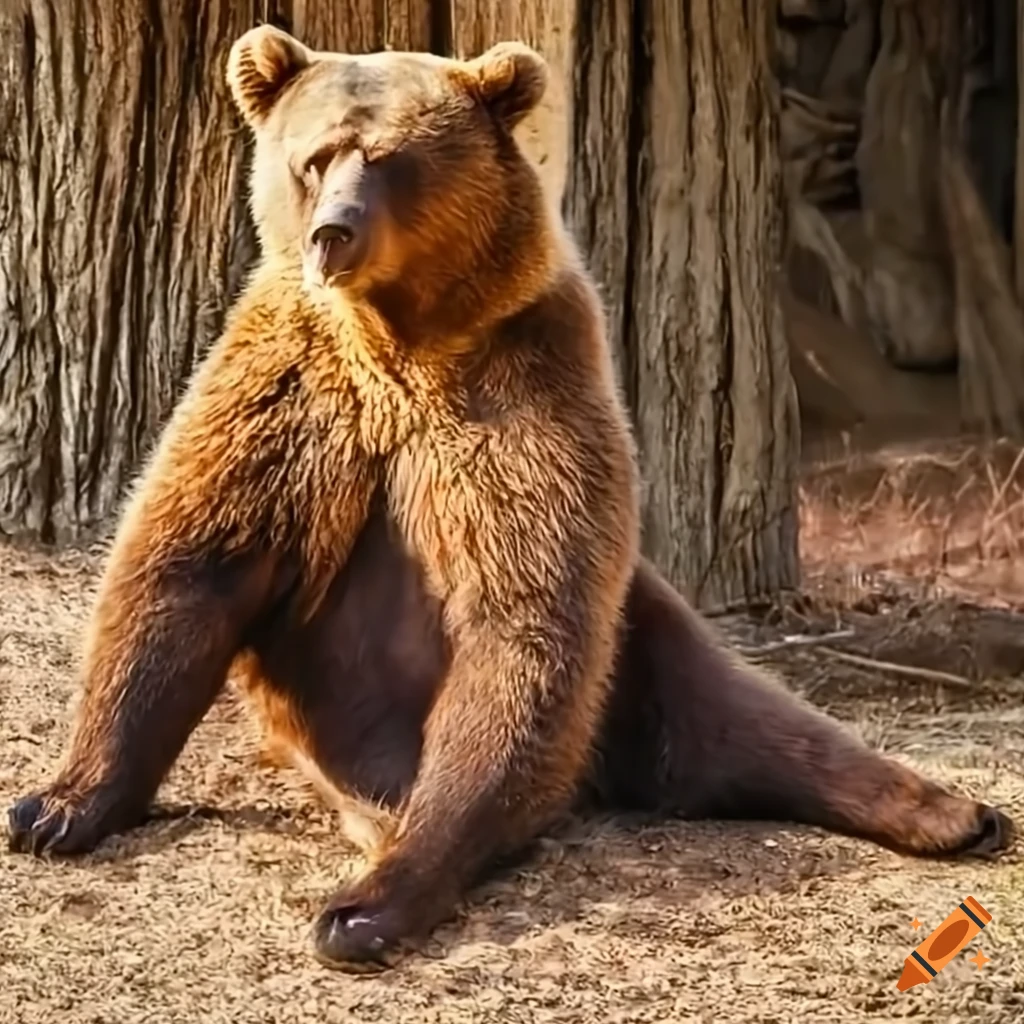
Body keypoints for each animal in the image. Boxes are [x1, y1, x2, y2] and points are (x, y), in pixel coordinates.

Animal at [8, 25, 1015, 973]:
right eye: (315, 155)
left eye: (388, 158)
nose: (335, 232)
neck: (400, 344)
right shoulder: (288, 392)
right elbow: (187, 562)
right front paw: (56, 805)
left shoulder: (524, 387)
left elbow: (521, 619)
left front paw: (369, 901)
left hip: (632, 629)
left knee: (733, 708)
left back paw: (952, 811)